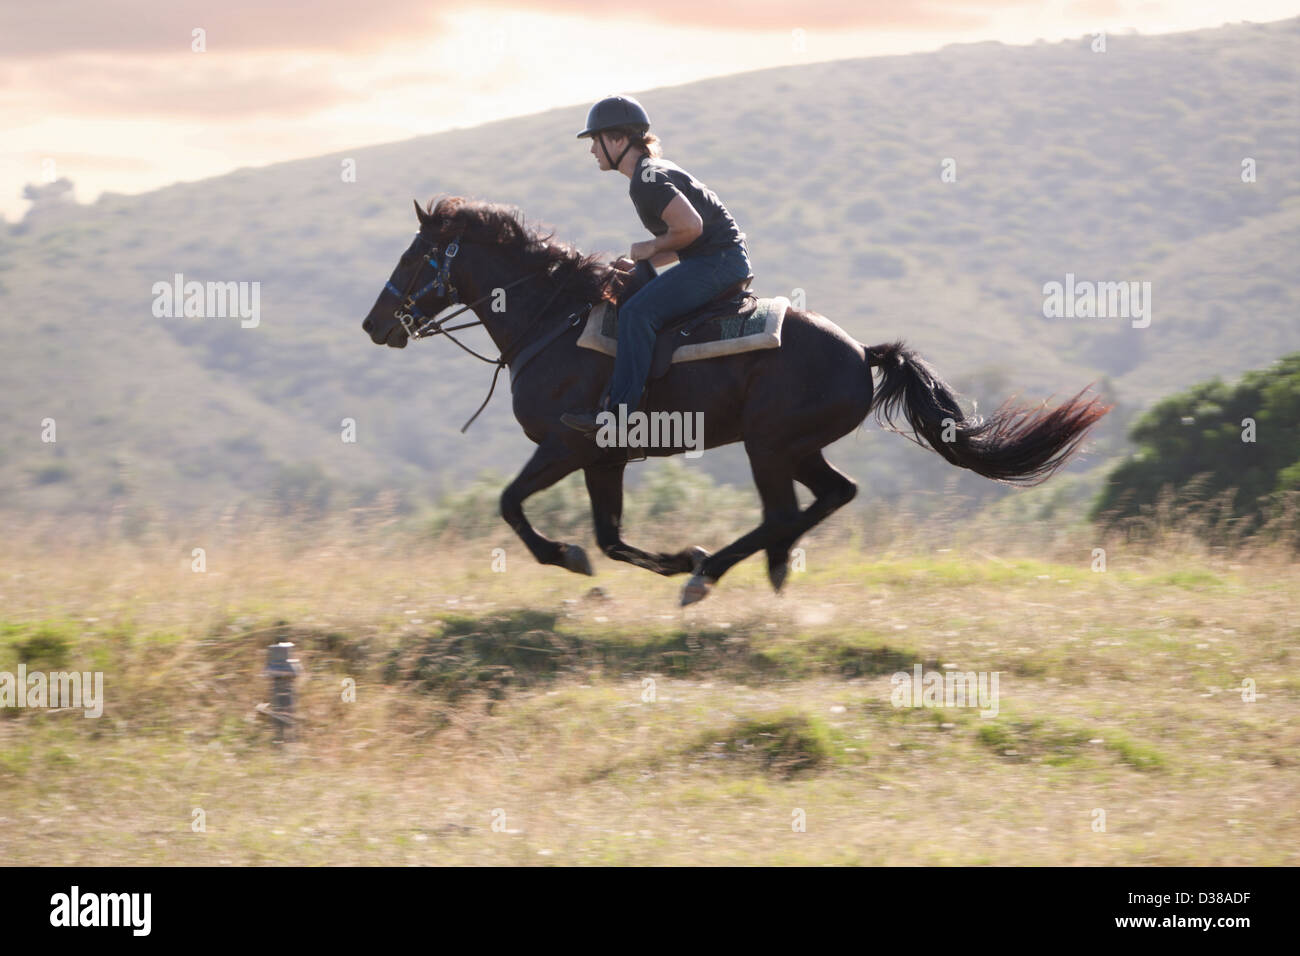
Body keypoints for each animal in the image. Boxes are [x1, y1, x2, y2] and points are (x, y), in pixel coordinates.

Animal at [361, 196, 1109, 605]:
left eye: (413, 257)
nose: (374, 324)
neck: (554, 318)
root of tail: (862, 351)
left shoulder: (567, 445)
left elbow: (513, 506)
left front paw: (576, 557)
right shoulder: (605, 460)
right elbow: (610, 537)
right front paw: (667, 557)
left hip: (768, 445)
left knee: (783, 511)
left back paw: (712, 574)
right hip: (793, 446)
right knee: (832, 496)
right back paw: (764, 569)